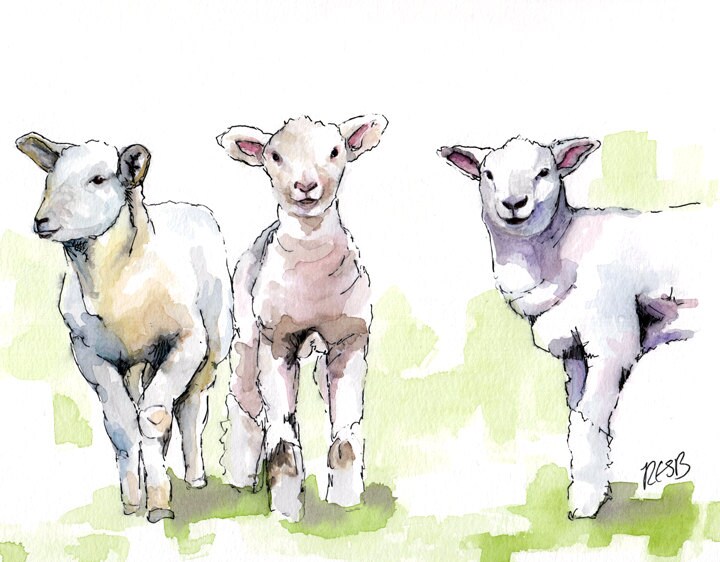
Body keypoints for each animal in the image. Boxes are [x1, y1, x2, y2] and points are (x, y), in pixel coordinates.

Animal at [16, 133, 233, 523]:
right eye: (49, 180)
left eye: (99, 179)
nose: (43, 221)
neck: (115, 290)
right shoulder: (90, 354)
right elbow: (121, 425)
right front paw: (133, 501)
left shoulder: (187, 342)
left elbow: (155, 416)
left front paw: (160, 504)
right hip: (136, 363)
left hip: (213, 345)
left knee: (191, 408)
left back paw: (194, 477)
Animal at [216, 115, 387, 521]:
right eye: (275, 155)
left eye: (336, 150)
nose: (306, 186)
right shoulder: (276, 340)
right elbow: (281, 441)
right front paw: (286, 513)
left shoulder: (350, 339)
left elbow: (345, 437)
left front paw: (345, 504)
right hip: (246, 340)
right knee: (244, 404)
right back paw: (240, 479)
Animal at [438, 135, 707, 518]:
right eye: (488, 174)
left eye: (544, 171)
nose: (513, 204)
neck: (562, 252)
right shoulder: (576, 354)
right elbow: (576, 423)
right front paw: (586, 491)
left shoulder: (612, 345)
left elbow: (588, 419)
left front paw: (586, 503)